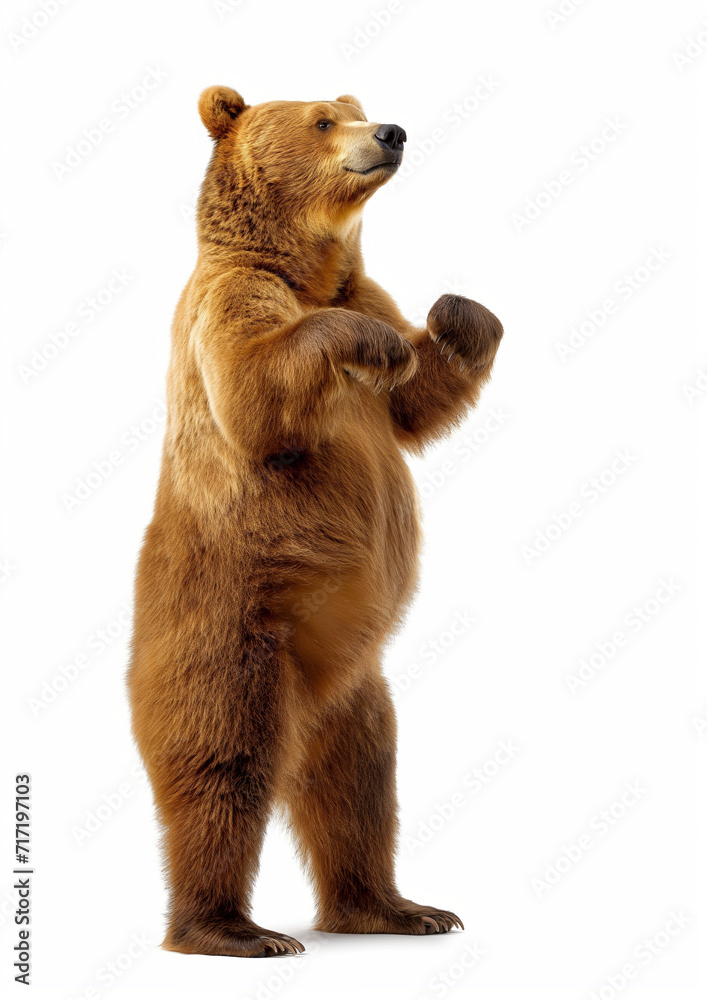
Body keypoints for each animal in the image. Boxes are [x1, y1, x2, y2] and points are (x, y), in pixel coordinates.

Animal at [127, 85, 503, 958]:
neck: (311, 269)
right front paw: (363, 347)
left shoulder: (366, 294)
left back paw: (398, 908)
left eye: (354, 107)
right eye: (322, 120)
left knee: (359, 782)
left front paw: (457, 314)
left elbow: (416, 398)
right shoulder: (231, 300)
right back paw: (231, 929)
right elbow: (257, 391)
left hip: (353, 688)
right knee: (220, 769)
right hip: (231, 639)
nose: (391, 132)